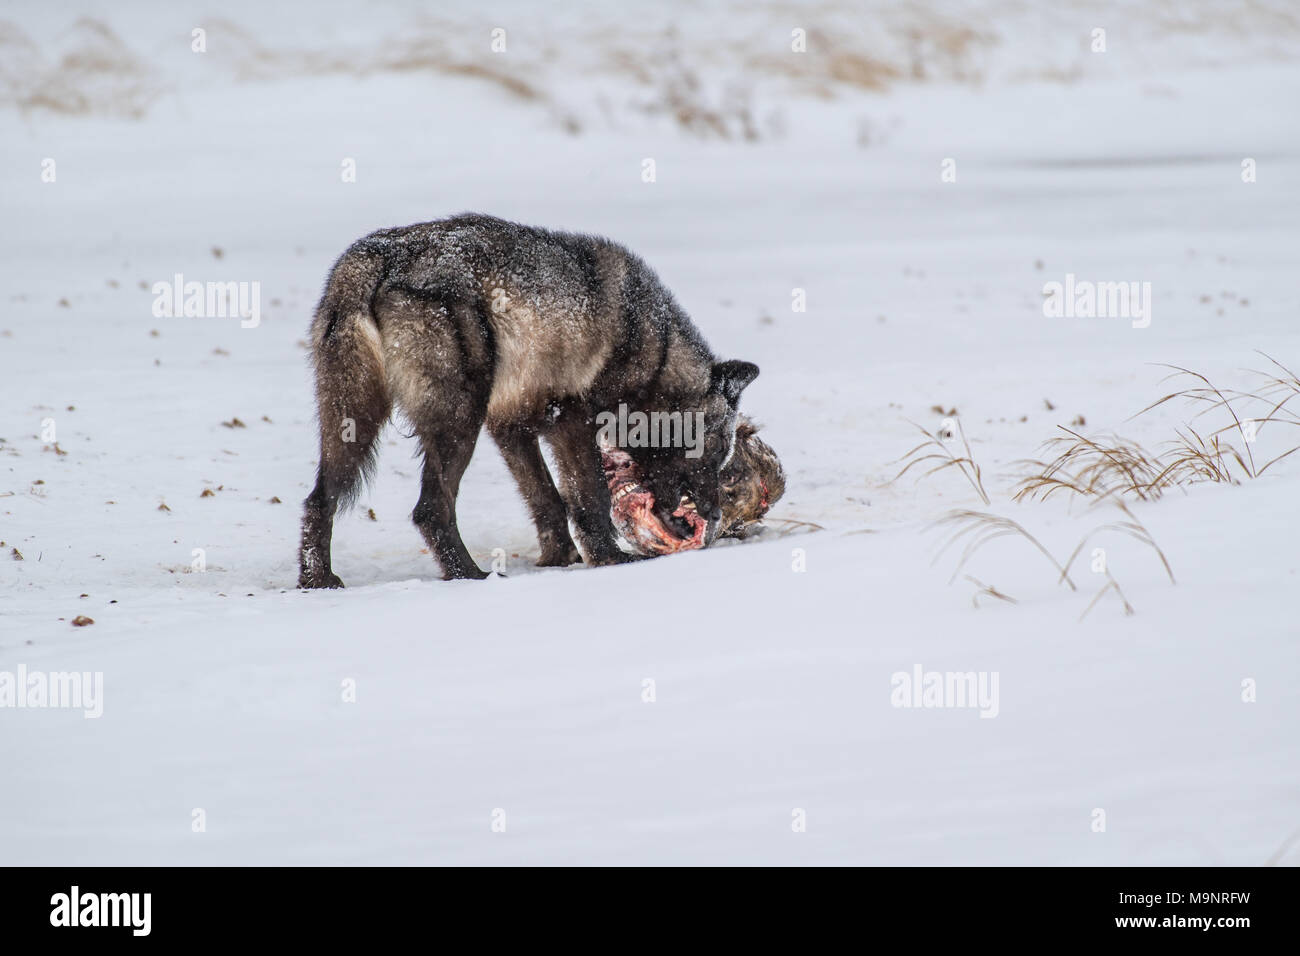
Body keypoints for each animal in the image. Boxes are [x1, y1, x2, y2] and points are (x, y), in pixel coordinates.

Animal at [299, 213, 759, 588]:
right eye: (715, 449)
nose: (714, 517)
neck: (652, 351)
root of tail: (378, 260)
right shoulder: (571, 422)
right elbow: (590, 499)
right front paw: (609, 560)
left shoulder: (510, 427)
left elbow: (547, 500)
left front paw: (559, 559)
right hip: (456, 426)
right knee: (430, 509)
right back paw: (470, 576)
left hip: (353, 424)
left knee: (319, 500)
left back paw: (317, 581)